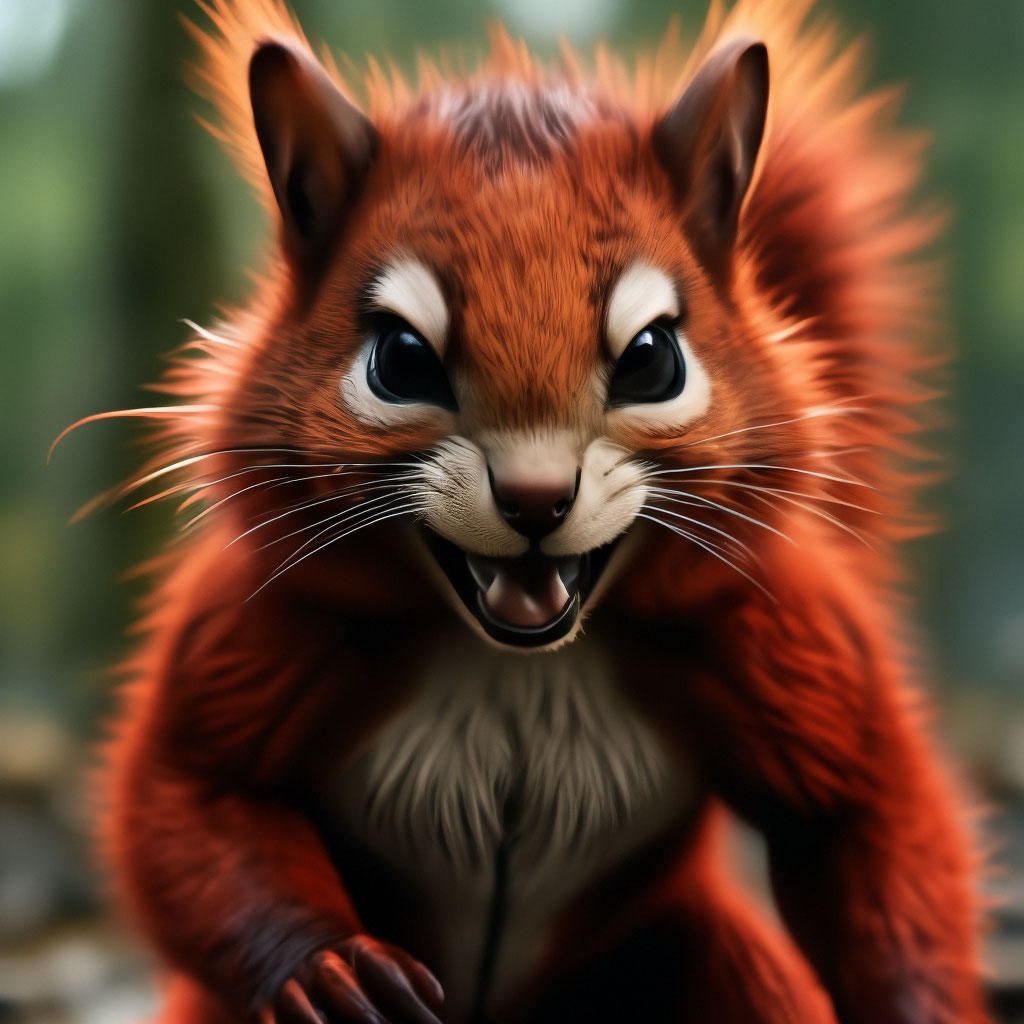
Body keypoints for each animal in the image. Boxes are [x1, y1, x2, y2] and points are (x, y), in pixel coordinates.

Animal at [60, 0, 989, 1020]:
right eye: (399, 360)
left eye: (655, 358)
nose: (537, 498)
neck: (517, 664)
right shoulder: (258, 621)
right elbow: (188, 797)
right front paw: (334, 968)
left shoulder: (776, 629)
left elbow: (860, 814)